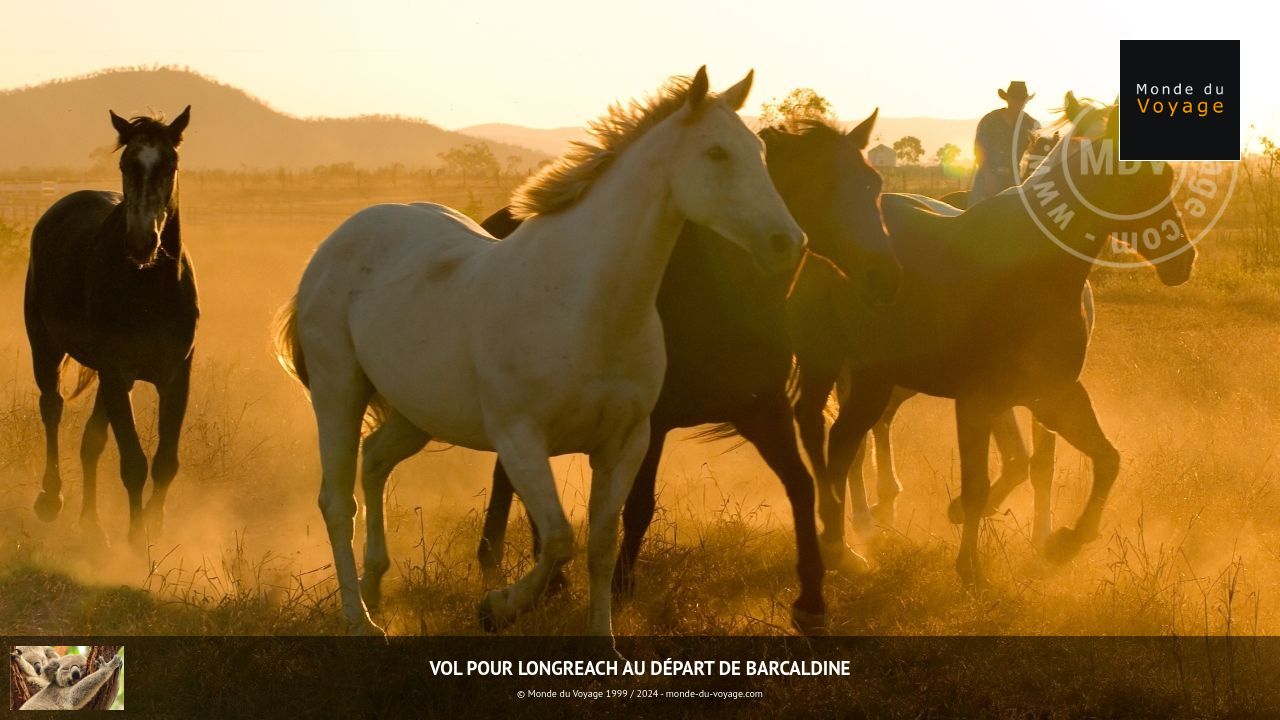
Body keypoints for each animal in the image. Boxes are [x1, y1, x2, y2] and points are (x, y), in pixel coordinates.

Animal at [25, 105, 197, 543]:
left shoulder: (175, 375)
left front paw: (154, 524)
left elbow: (165, 462)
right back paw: (51, 498)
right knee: (51, 407)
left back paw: (92, 523)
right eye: (125, 163)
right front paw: (136, 541)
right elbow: (133, 462)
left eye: (170, 163)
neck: (149, 288)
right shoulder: (118, 374)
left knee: (91, 440)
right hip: (46, 347)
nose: (141, 242)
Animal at [276, 64, 803, 640]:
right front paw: (497, 606)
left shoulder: (626, 441)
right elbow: (558, 538)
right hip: (338, 391)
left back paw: (375, 589)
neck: (585, 305)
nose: (788, 243)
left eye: (759, 150)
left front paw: (602, 641)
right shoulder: (521, 439)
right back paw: (361, 620)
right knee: (336, 501)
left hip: (418, 414)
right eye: (716, 153)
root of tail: (334, 244)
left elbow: (600, 545)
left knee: (373, 462)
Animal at [473, 113, 901, 632]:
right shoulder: (649, 422)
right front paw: (622, 587)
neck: (717, 292)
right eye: (823, 184)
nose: (884, 275)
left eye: (874, 183)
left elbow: (801, 485)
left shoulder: (763, 410)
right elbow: (639, 507)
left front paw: (812, 601)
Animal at [788, 106, 1198, 579]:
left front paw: (1063, 544)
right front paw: (969, 566)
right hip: (846, 372)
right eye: (1136, 178)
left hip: (878, 380)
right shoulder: (977, 401)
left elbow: (1102, 460)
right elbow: (979, 486)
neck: (1032, 274)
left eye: (1166, 175)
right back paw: (847, 541)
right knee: (839, 444)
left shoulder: (1053, 395)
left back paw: (847, 542)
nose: (1183, 261)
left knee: (847, 442)